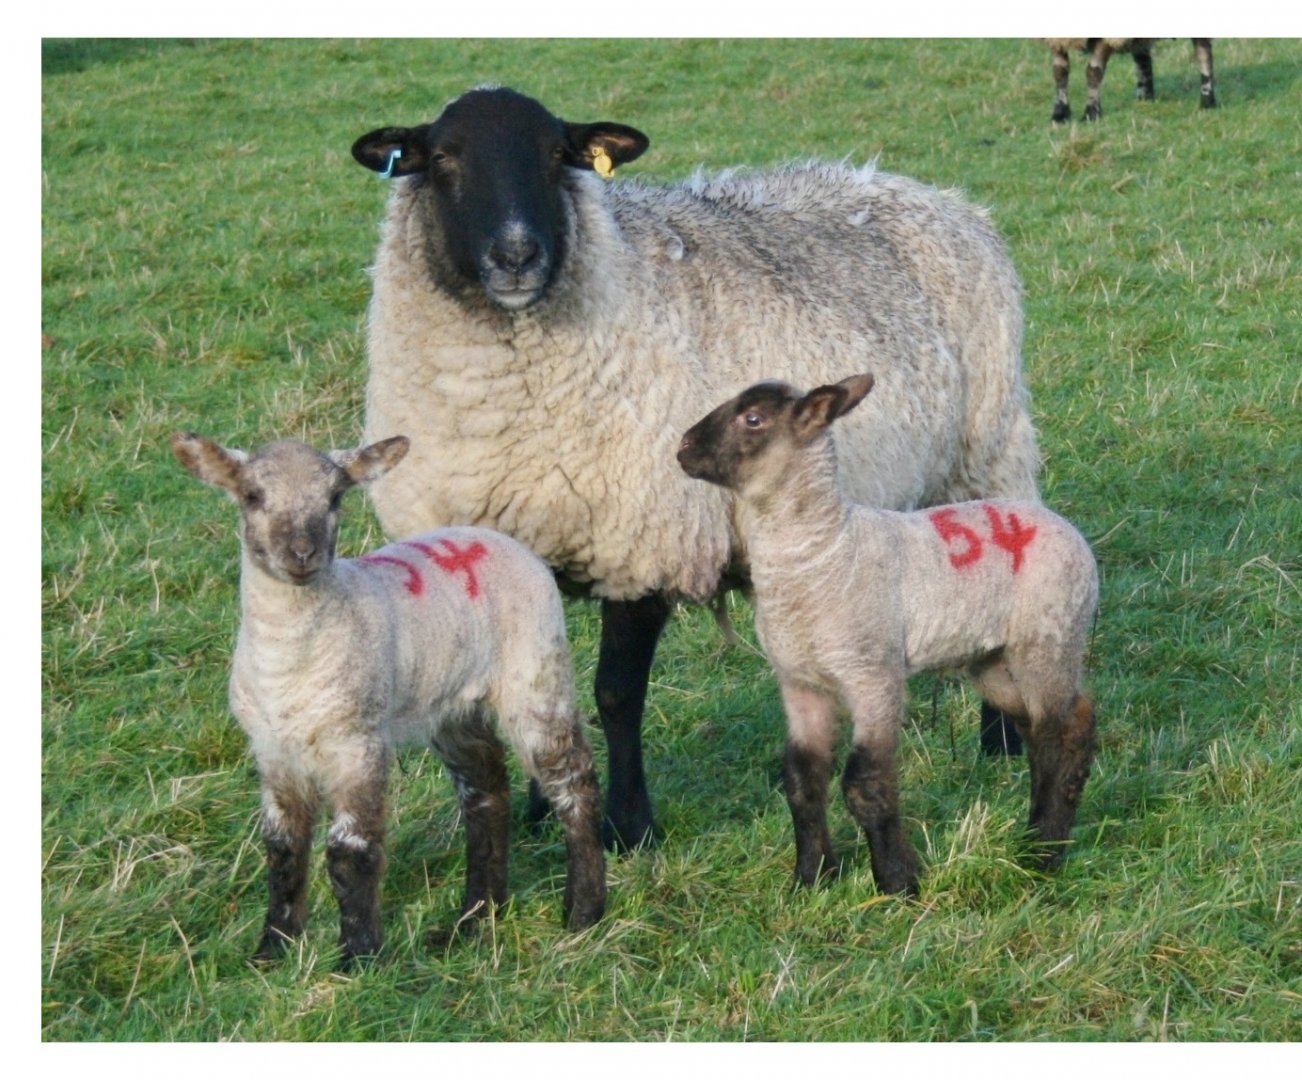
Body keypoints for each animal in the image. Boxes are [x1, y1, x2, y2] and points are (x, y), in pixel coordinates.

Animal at [171, 431, 605, 967]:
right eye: (251, 496)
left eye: (335, 498)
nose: (302, 554)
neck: (290, 660)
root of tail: (490, 536)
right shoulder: (272, 749)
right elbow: (282, 846)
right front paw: (272, 950)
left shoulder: (358, 741)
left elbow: (349, 850)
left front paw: (358, 957)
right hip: (452, 704)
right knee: (485, 789)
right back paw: (475, 917)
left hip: (536, 668)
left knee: (572, 778)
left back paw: (583, 910)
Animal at [349, 84, 1041, 851]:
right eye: (442, 158)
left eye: (558, 155)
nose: (517, 254)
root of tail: (936, 195)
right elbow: (535, 680)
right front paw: (540, 812)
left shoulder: (647, 539)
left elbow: (616, 692)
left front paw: (628, 826)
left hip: (988, 451)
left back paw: (1002, 742)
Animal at [676, 375, 1098, 892]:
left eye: (752, 419)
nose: (683, 448)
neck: (823, 552)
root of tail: (1070, 531)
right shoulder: (800, 682)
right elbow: (801, 779)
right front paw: (811, 877)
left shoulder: (873, 675)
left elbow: (866, 782)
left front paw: (898, 881)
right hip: (994, 661)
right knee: (1043, 729)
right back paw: (1035, 837)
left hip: (1048, 637)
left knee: (1067, 730)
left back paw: (1046, 851)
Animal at [1044, 38, 1216, 123]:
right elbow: (1059, 71)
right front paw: (1059, 113)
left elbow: (1093, 71)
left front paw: (1091, 113)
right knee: (1142, 57)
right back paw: (1144, 97)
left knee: (1203, 52)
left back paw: (1207, 100)